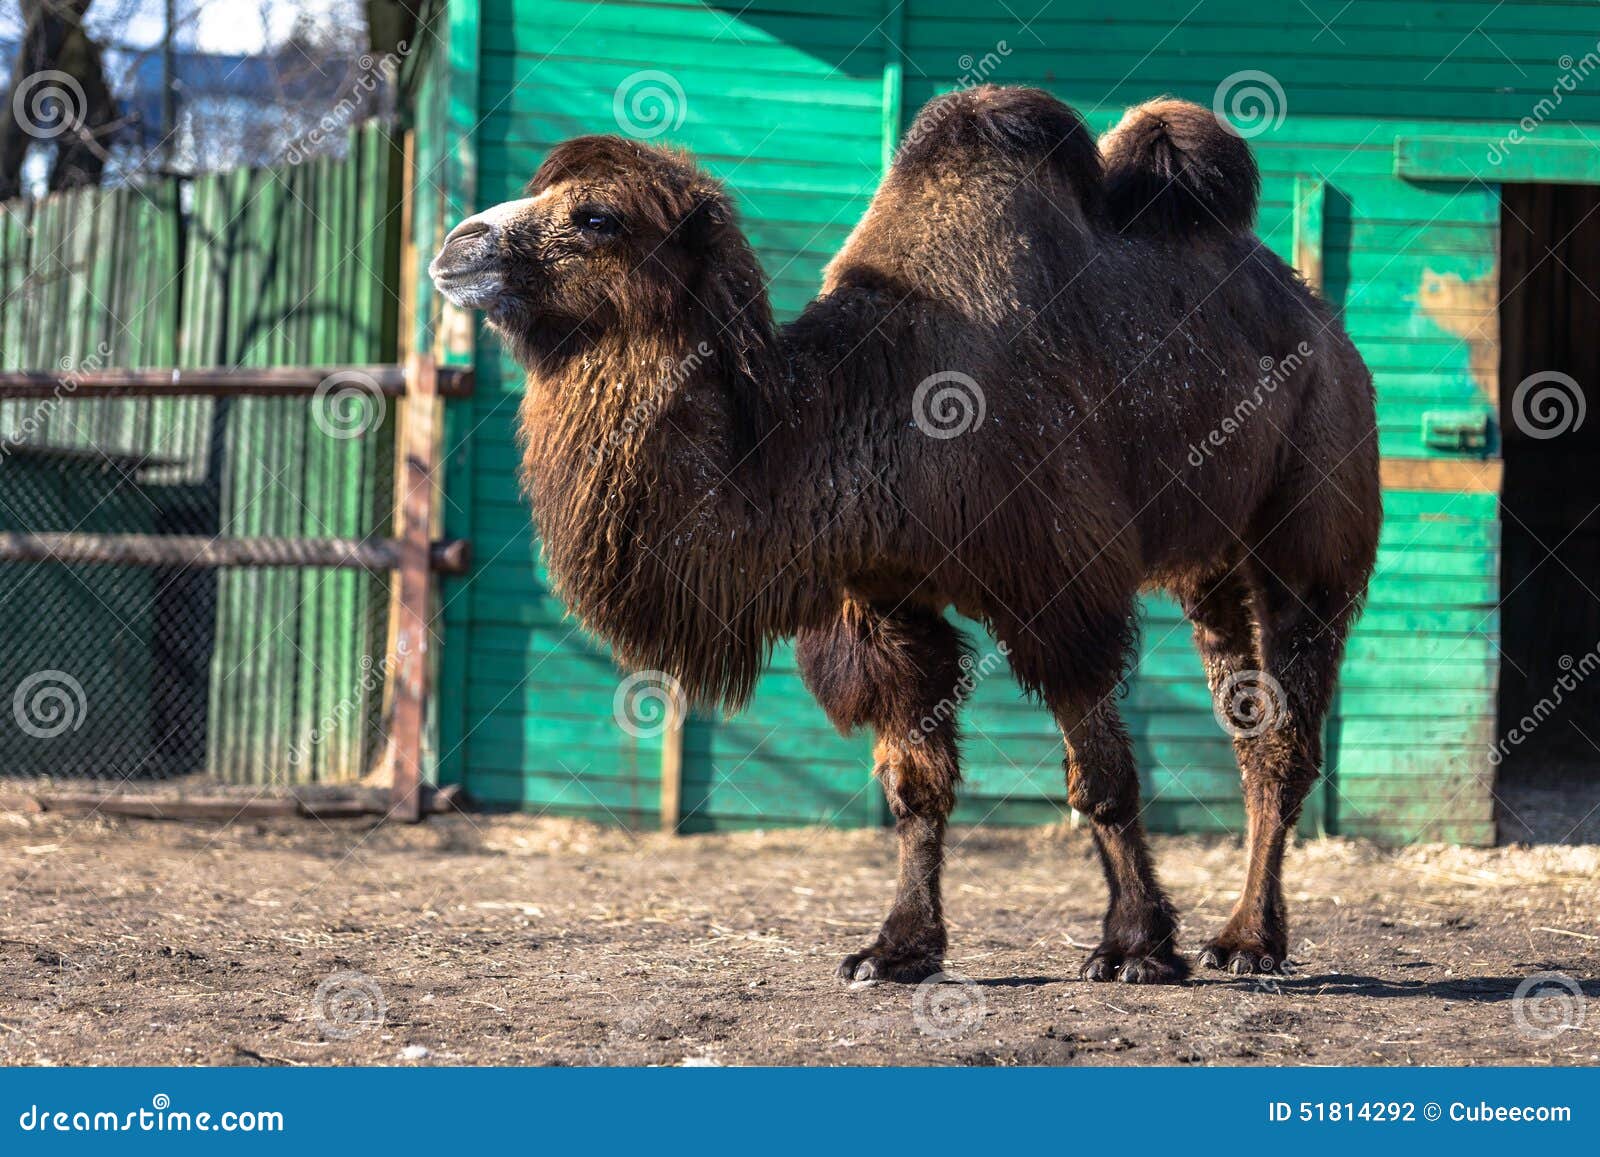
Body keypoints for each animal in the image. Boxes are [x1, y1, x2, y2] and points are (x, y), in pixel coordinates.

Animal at [429, 86, 1381, 985]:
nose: (455, 247)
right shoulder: (884, 601)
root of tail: (1323, 321)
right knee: (1249, 715)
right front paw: (896, 949)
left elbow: (1101, 780)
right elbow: (914, 788)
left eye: (597, 216)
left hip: (1310, 525)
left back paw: (1248, 942)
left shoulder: (1058, 586)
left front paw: (1137, 948)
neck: (867, 407)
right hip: (1209, 567)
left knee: (1285, 731)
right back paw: (1247, 931)